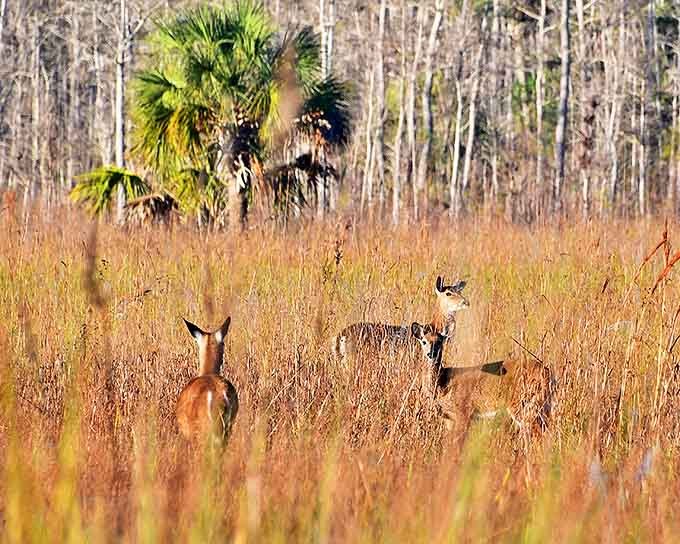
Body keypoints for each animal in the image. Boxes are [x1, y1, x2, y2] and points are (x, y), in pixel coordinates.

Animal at [411, 321, 553, 436]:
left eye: (440, 342)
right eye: (424, 341)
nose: (431, 354)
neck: (442, 385)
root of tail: (549, 374)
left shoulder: (464, 412)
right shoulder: (449, 419)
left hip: (524, 403)